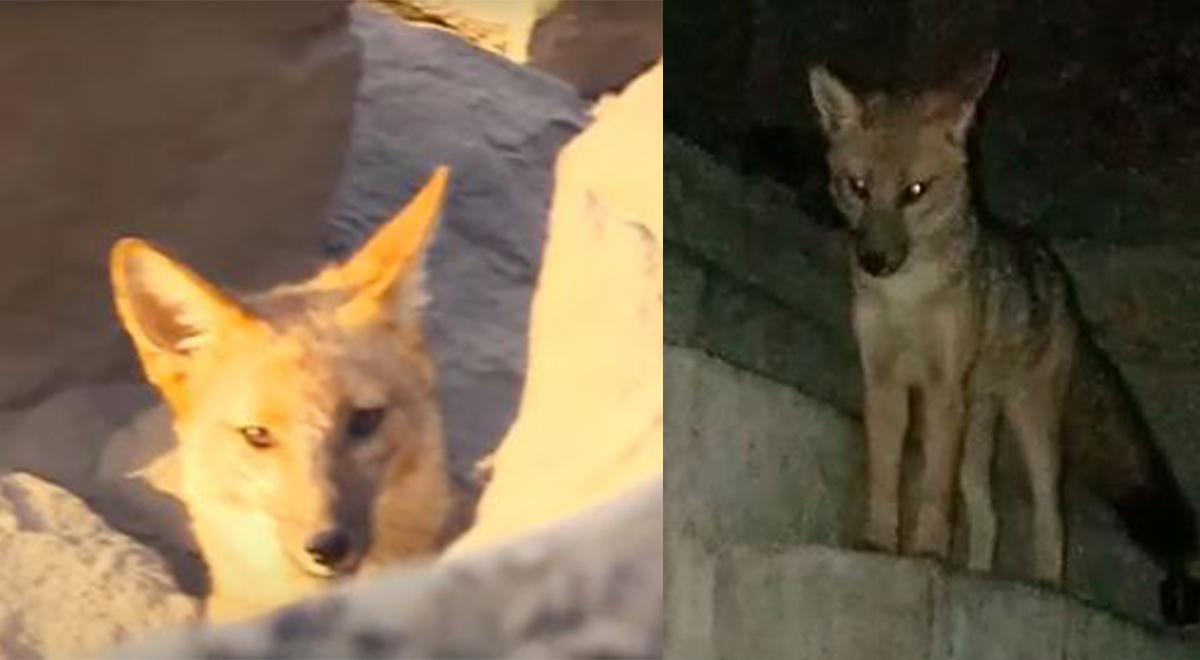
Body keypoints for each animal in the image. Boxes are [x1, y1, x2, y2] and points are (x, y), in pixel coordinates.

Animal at [808, 53, 1200, 625]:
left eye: (914, 192)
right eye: (857, 187)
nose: (874, 261)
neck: (907, 298)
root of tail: (1055, 274)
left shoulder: (940, 388)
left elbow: (933, 494)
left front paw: (927, 551)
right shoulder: (883, 381)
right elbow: (886, 477)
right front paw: (880, 542)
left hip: (1030, 425)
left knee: (1050, 516)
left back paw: (1047, 586)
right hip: (976, 434)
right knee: (988, 515)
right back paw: (978, 573)